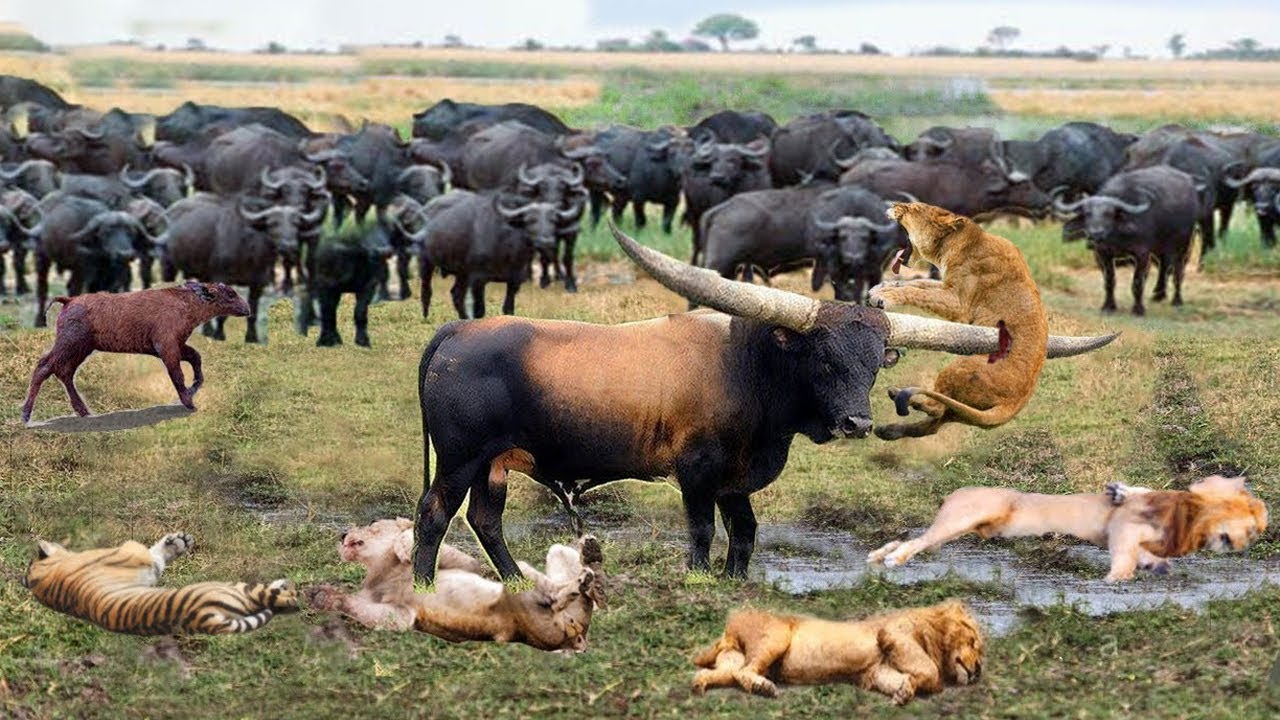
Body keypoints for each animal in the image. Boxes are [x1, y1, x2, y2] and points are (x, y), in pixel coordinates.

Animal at [691, 600, 984, 704]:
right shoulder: (892, 632)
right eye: (974, 643)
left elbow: (914, 679)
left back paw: (699, 686)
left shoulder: (877, 671)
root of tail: (728, 627)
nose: (979, 670)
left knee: (715, 674)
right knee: (745, 673)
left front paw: (904, 692)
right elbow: (932, 673)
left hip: (730, 661)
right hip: (776, 635)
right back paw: (764, 688)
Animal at [867, 475, 1268, 581]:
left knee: (911, 538)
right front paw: (1116, 578)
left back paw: (878, 556)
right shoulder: (1124, 524)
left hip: (955, 527)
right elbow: (1126, 545)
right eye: (1250, 524)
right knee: (916, 542)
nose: (1242, 545)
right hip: (962, 518)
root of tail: (955, 491)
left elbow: (1144, 554)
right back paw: (892, 560)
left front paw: (1155, 566)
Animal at [869, 201, 1049, 440]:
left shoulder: (958, 303)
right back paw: (889, 428)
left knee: (936, 409)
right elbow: (920, 284)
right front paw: (883, 287)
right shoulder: (947, 286)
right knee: (932, 424)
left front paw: (883, 297)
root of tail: (1014, 404)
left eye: (912, 208)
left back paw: (904, 396)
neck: (953, 244)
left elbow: (917, 291)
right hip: (961, 411)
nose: (891, 204)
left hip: (959, 368)